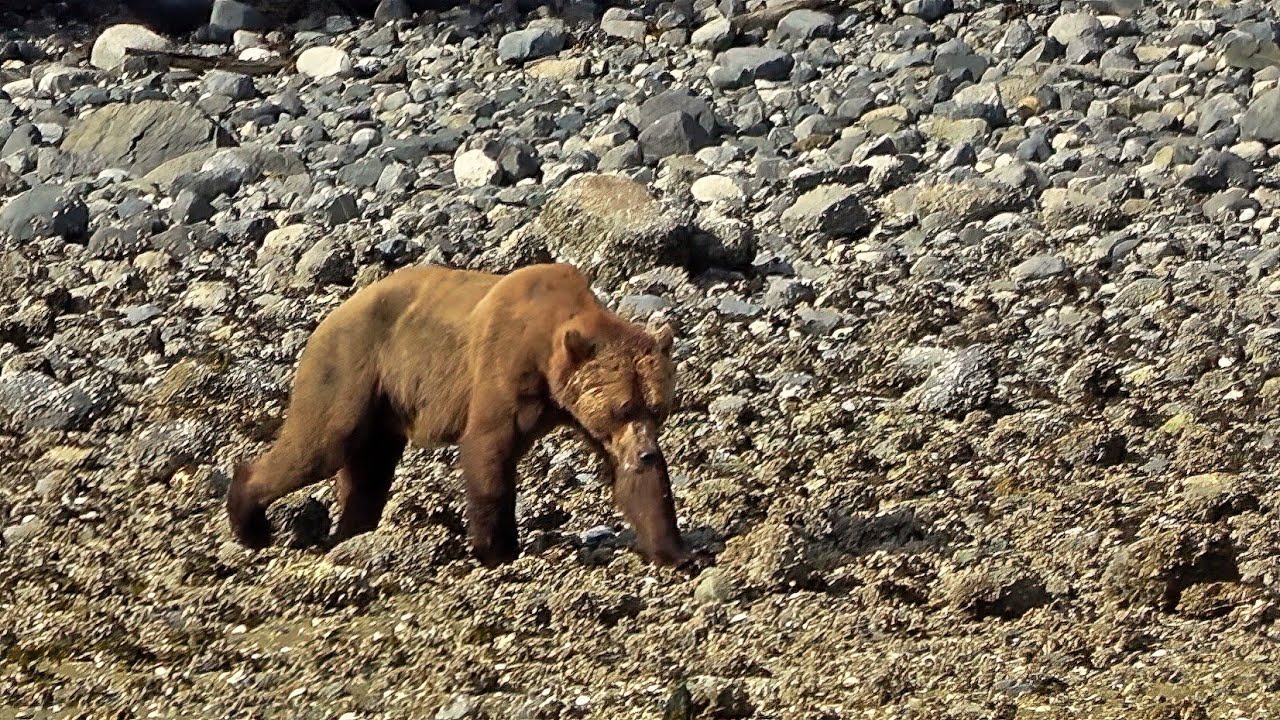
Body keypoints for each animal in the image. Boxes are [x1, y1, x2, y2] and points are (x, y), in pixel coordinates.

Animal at [226, 262, 688, 568]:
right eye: (621, 406)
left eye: (658, 407)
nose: (647, 452)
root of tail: (334, 312)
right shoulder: (504, 368)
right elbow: (488, 449)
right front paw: (496, 549)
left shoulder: (583, 413)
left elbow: (633, 480)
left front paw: (674, 549)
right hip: (351, 366)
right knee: (321, 444)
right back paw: (251, 523)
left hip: (382, 402)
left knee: (369, 469)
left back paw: (350, 532)